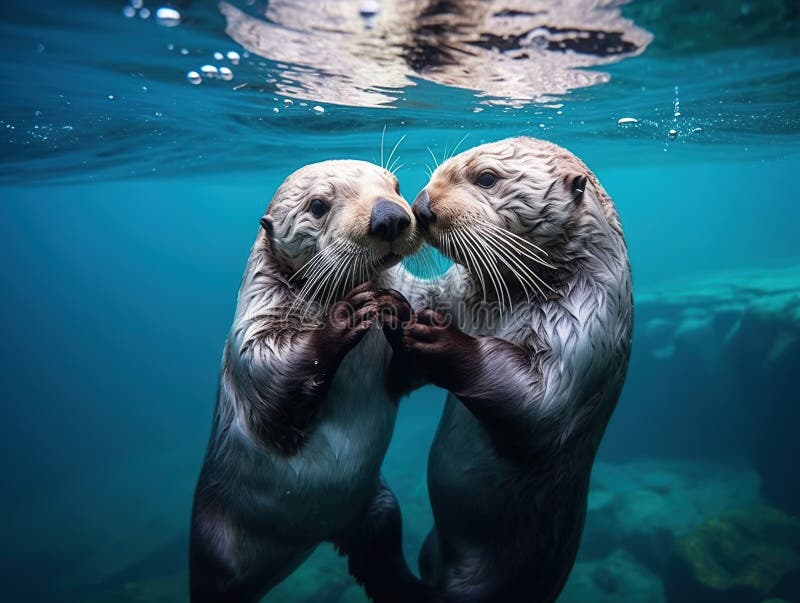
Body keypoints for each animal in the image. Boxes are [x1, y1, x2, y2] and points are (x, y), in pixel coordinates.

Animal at [190, 160, 427, 602]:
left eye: (396, 186)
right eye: (318, 205)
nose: (389, 216)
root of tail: (315, 536)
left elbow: (408, 371)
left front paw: (398, 313)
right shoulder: (250, 340)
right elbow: (275, 382)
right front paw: (348, 313)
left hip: (375, 506)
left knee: (381, 547)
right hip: (213, 554)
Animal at [395, 137, 633, 603]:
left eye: (486, 178)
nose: (422, 205)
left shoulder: (585, 327)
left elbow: (538, 407)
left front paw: (438, 339)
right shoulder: (454, 294)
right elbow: (422, 296)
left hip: (478, 587)